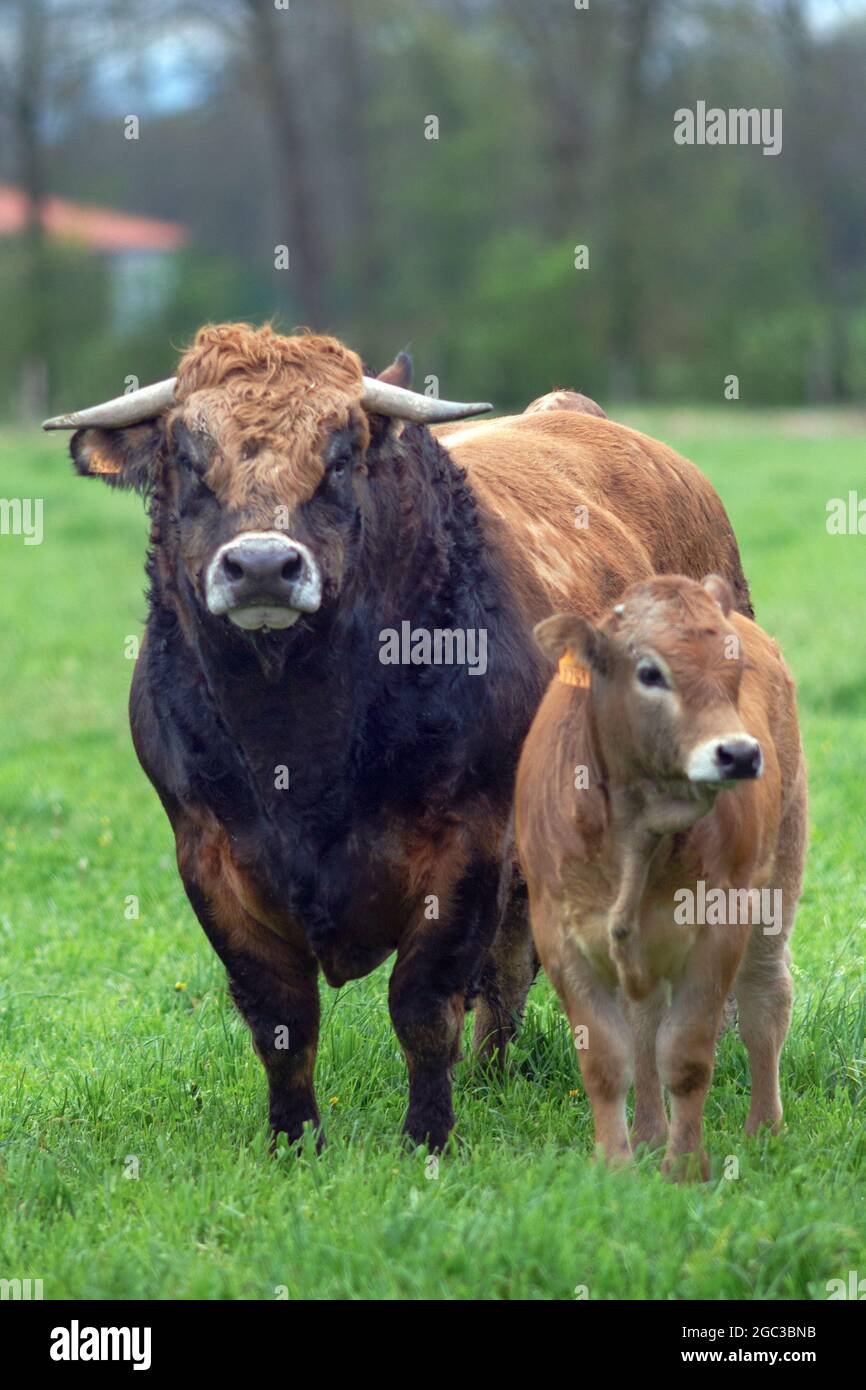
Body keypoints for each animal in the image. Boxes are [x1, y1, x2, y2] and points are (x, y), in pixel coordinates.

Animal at [45, 322, 755, 1152]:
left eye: (341, 453)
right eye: (186, 455)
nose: (262, 566)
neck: (299, 735)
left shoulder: (468, 841)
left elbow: (422, 1006)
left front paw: (428, 1136)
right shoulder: (209, 854)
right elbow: (281, 1016)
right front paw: (294, 1142)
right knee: (510, 963)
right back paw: (490, 1070)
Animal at [515, 574, 807, 1179]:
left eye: (734, 669)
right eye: (649, 672)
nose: (739, 753)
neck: (636, 829)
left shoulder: (720, 928)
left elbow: (687, 1056)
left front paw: (686, 1167)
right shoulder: (558, 936)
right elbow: (607, 1057)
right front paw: (615, 1164)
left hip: (777, 888)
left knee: (765, 1003)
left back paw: (764, 1130)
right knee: (644, 1024)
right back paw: (649, 1135)